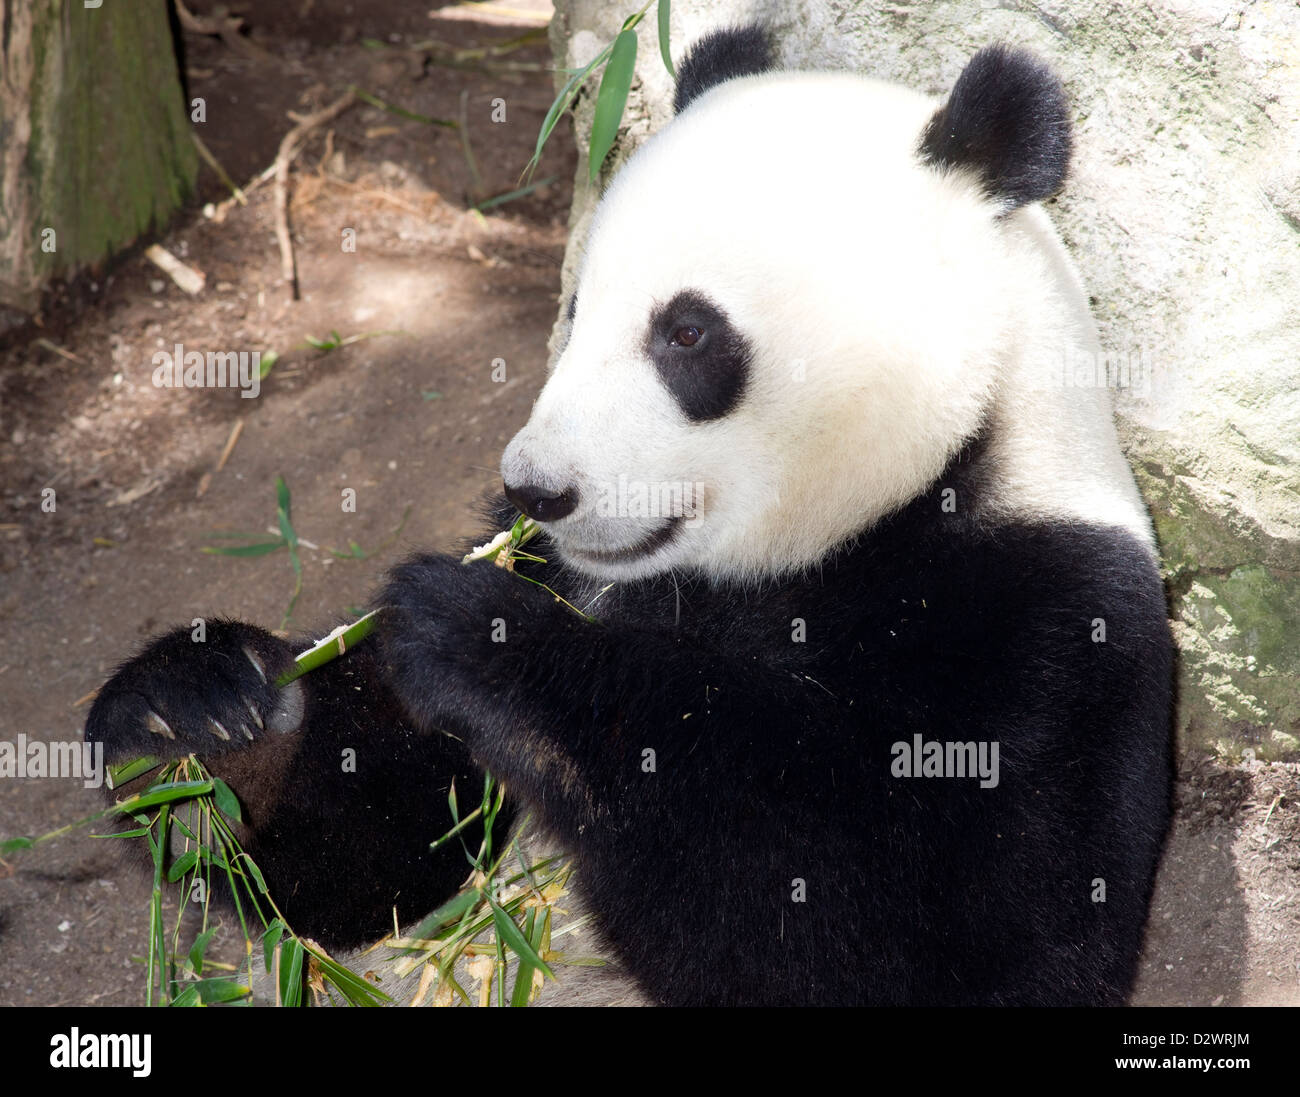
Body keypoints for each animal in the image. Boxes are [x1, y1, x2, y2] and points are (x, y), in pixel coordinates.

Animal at [86, 26, 1173, 1007]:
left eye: (686, 333)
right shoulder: (558, 564)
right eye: (574, 307)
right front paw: (198, 718)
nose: (537, 490)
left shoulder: (1041, 618)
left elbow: (928, 932)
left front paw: (489, 641)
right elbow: (376, 862)